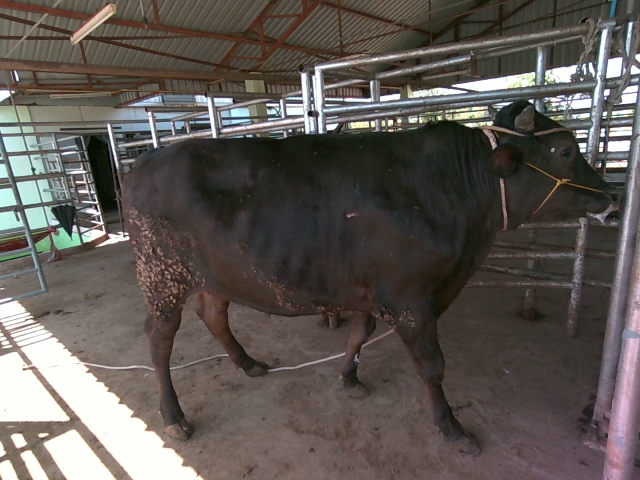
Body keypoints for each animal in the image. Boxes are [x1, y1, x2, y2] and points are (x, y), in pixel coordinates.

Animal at [122, 100, 618, 456]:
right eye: (565, 151)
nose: (612, 195)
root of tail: (143, 162)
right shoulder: (412, 300)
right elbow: (433, 366)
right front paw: (452, 428)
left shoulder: (368, 290)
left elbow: (359, 334)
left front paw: (349, 378)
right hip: (160, 276)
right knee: (160, 338)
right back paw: (173, 416)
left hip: (214, 275)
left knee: (213, 314)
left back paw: (248, 364)